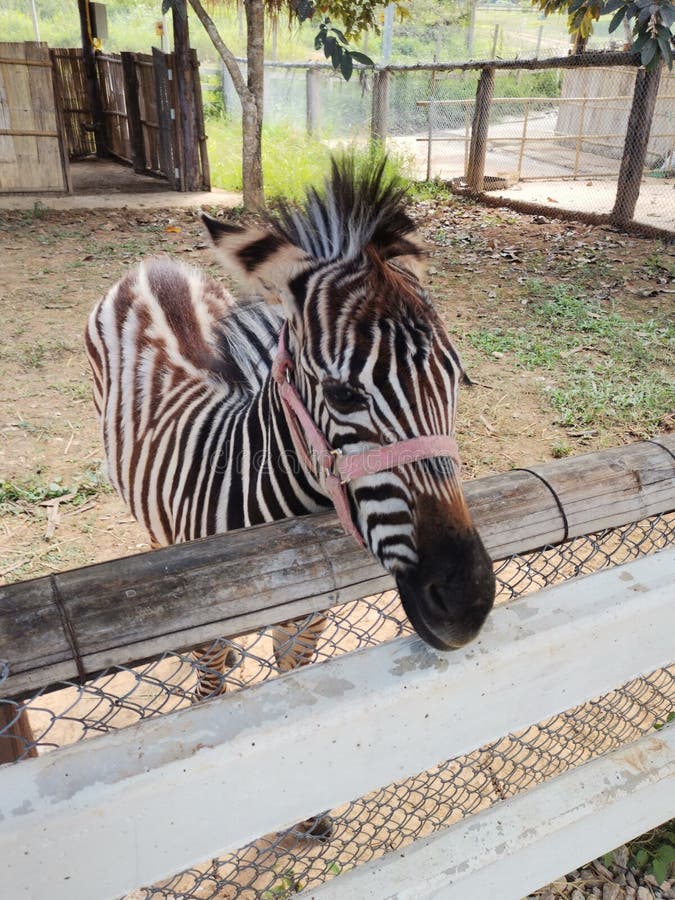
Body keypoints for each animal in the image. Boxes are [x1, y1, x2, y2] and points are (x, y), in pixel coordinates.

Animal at [85, 156, 495, 699]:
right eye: (342, 395)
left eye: (459, 381)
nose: (468, 601)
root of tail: (154, 264)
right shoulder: (204, 624)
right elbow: (212, 681)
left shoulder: (310, 616)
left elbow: (294, 670)